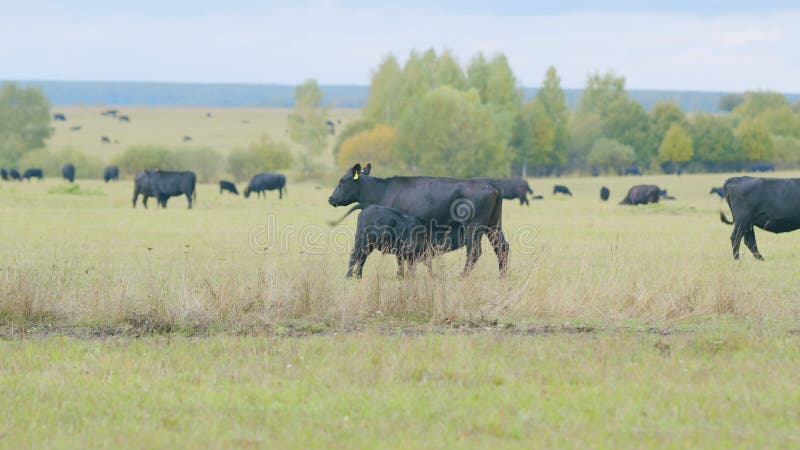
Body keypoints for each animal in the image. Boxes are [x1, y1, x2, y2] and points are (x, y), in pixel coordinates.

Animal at [328, 163, 509, 277]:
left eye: (342, 181)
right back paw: (502, 276)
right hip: (494, 224)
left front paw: (401, 276)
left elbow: (401, 258)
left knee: (474, 252)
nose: (331, 199)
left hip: (474, 227)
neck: (382, 190)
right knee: (502, 247)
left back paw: (462, 276)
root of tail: (489, 183)